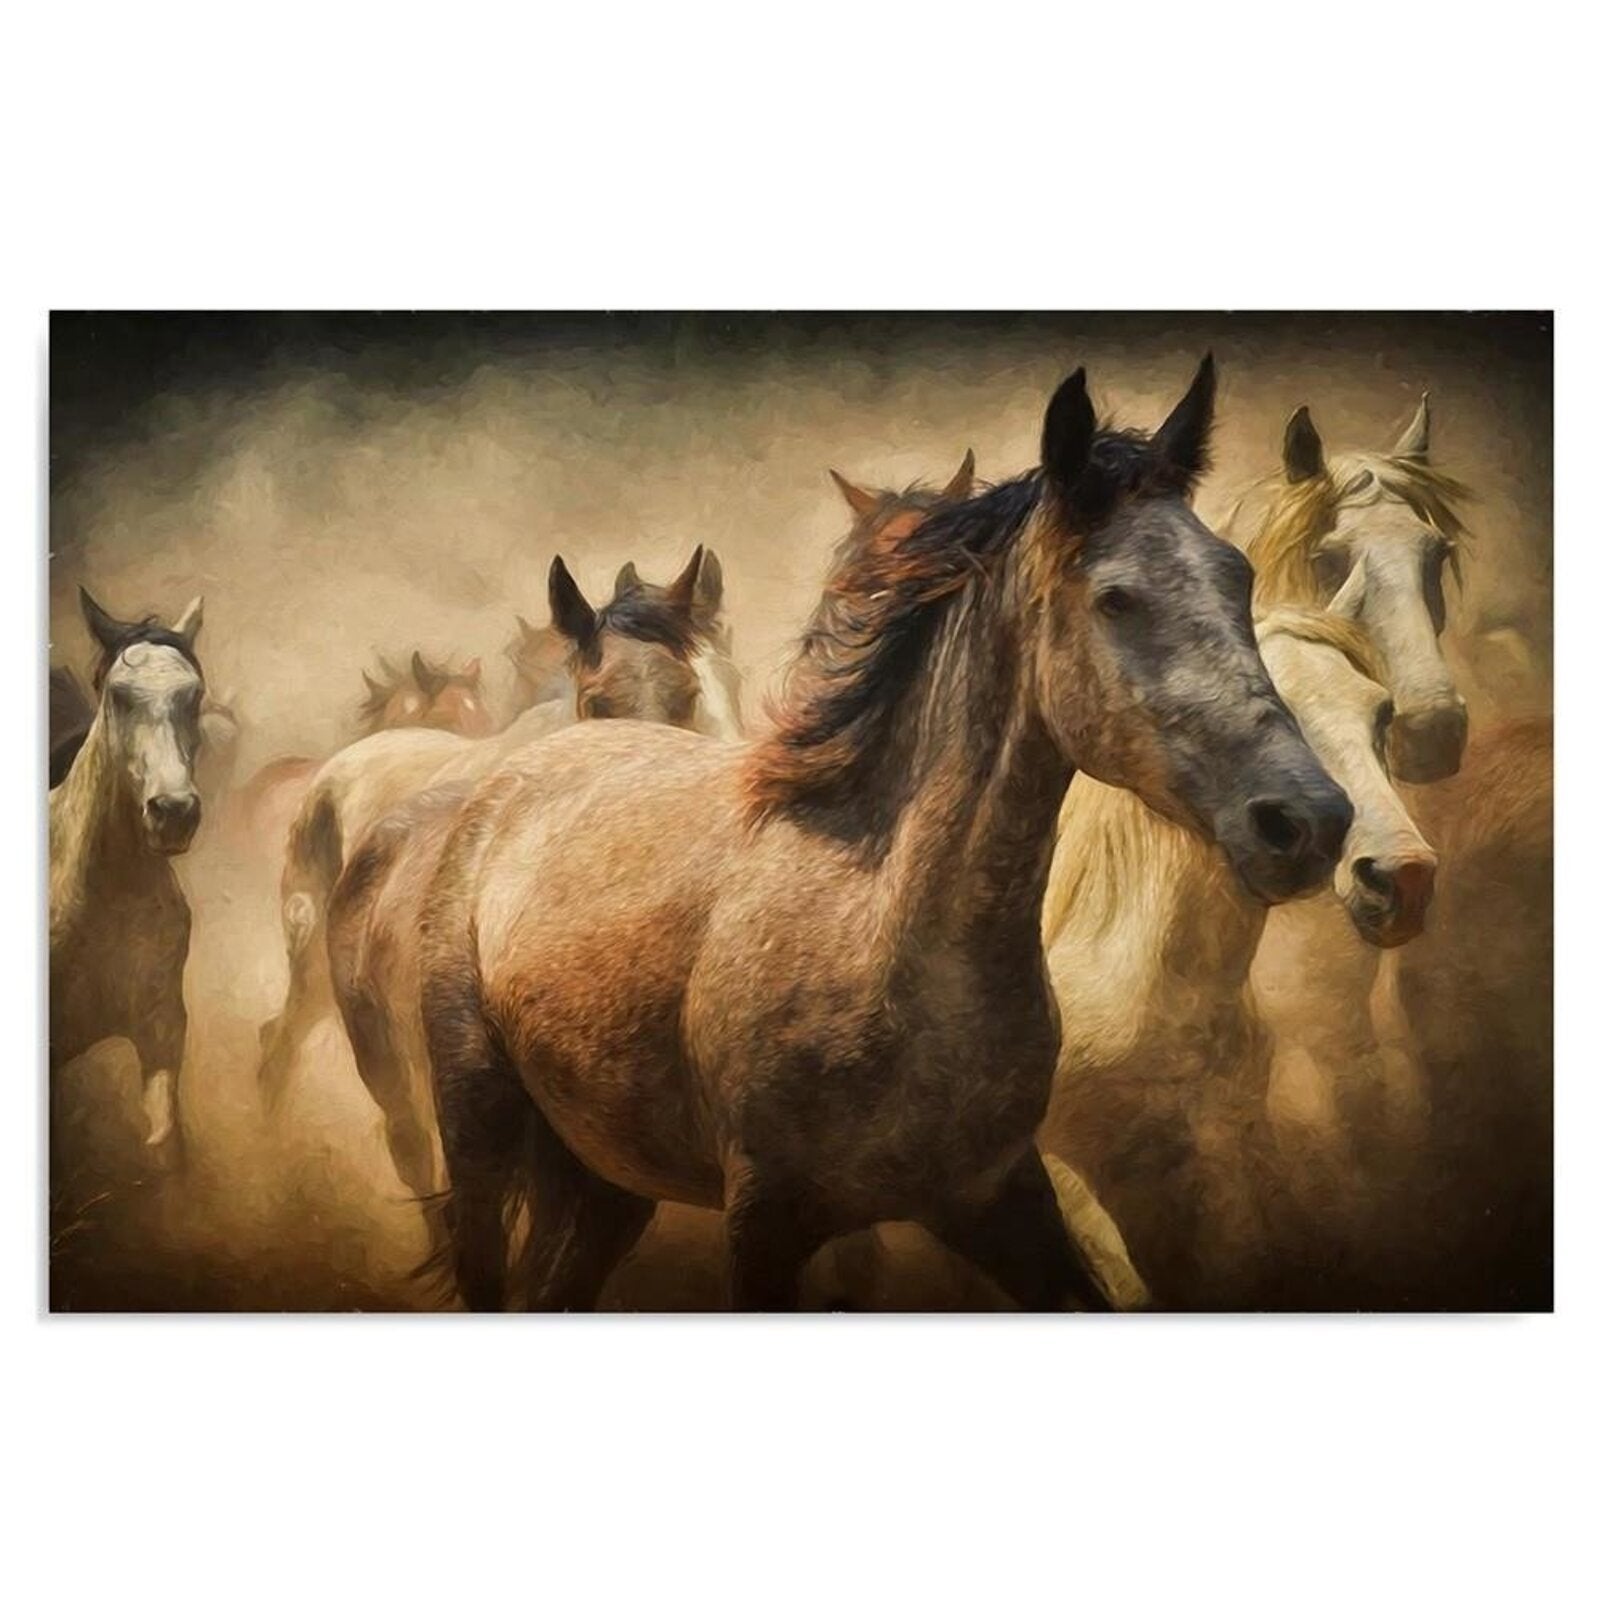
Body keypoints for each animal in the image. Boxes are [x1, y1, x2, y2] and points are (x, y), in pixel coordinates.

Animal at [410, 356, 1353, 1312]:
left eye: (1237, 576)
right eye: (1116, 598)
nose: (1307, 820)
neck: (884, 932)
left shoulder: (996, 1198)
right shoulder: (767, 1226)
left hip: (608, 1177)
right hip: (480, 1124)